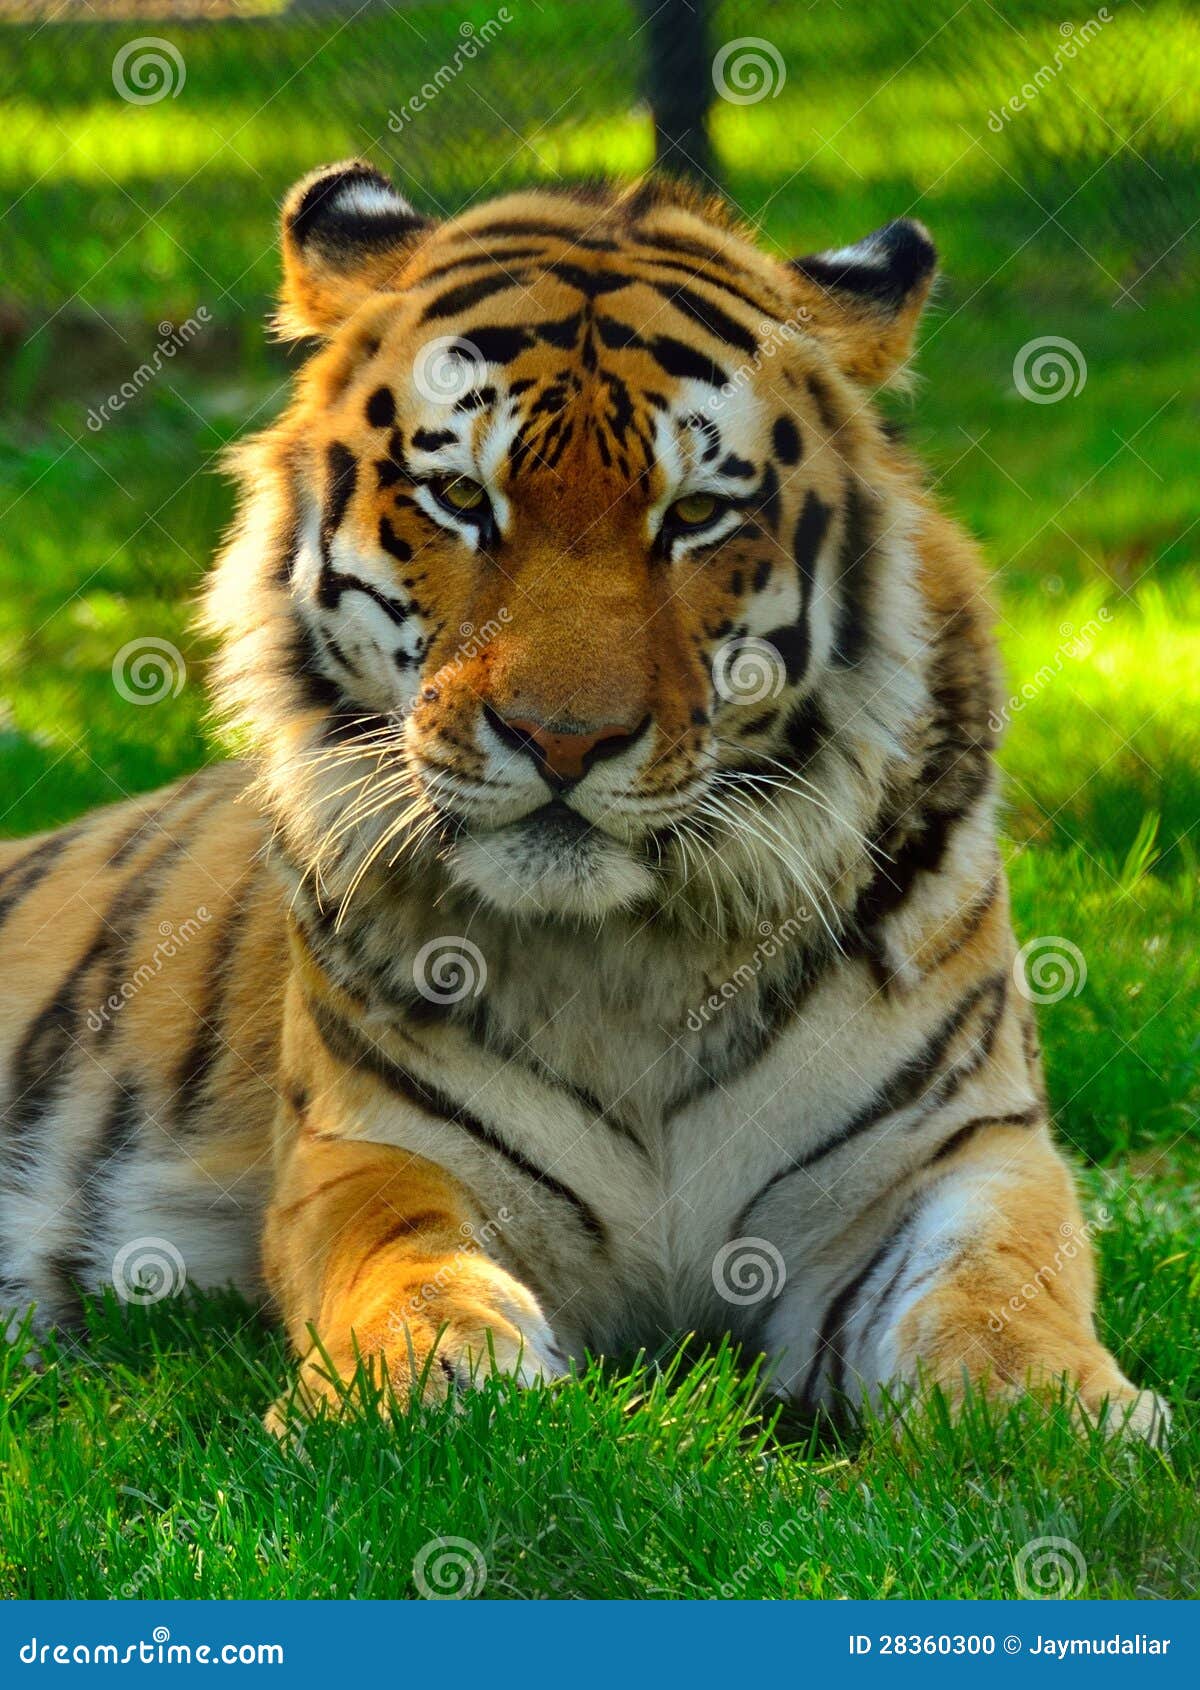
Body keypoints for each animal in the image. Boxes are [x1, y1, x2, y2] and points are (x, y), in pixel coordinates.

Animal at [0, 160, 1164, 1440]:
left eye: (695, 514)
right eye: (461, 497)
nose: (564, 738)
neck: (635, 966)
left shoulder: (958, 1148)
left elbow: (1001, 1281)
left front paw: (1068, 1408)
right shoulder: (370, 1144)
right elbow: (402, 1256)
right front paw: (424, 1376)